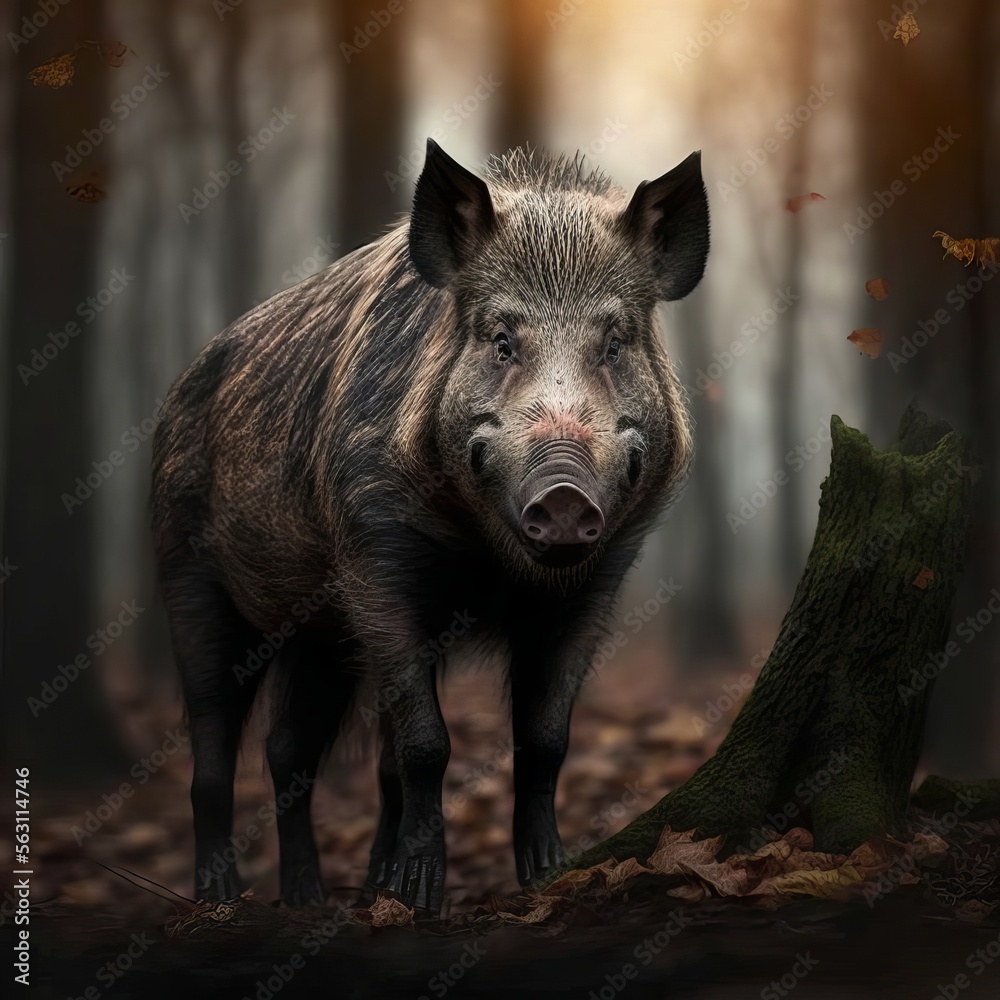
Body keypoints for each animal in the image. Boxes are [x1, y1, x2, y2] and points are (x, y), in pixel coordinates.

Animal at [151, 139, 709, 916]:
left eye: (616, 342)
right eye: (500, 340)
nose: (565, 493)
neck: (489, 562)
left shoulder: (601, 576)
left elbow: (544, 737)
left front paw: (546, 877)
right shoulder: (373, 557)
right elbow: (424, 743)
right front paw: (418, 902)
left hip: (320, 638)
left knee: (288, 752)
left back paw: (311, 901)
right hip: (188, 575)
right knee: (212, 744)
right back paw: (222, 900)